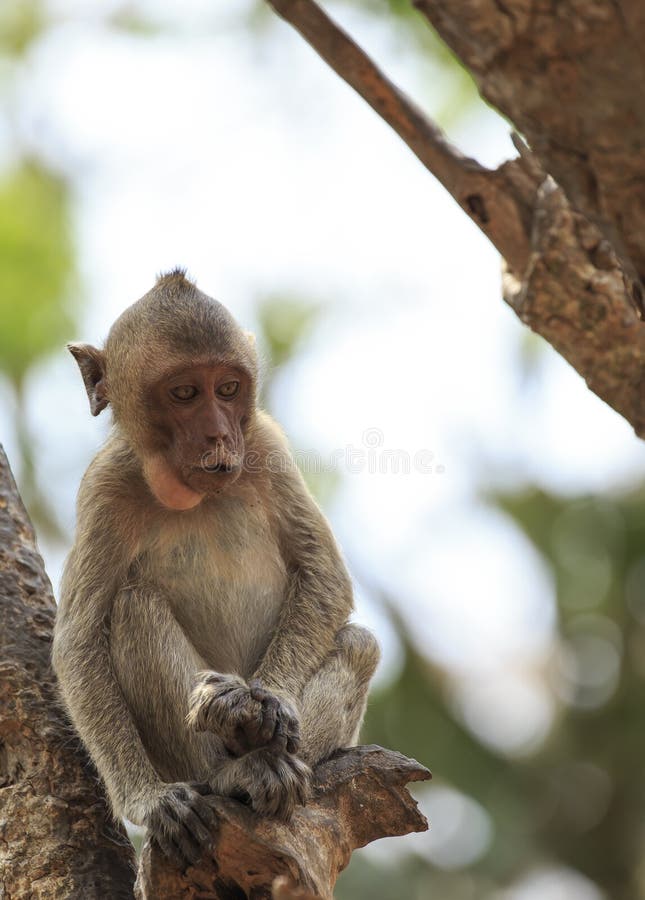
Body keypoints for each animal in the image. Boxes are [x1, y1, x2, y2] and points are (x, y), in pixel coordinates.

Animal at [52, 269, 380, 867]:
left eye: (227, 389)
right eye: (185, 393)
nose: (219, 436)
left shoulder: (267, 445)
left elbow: (324, 575)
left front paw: (266, 699)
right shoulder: (105, 486)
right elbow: (79, 641)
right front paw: (148, 800)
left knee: (359, 644)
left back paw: (259, 739)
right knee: (133, 607)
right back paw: (237, 769)